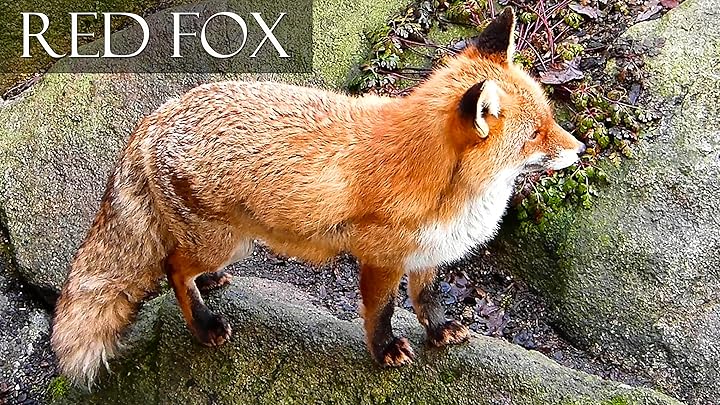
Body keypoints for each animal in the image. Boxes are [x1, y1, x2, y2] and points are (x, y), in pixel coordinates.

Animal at [51, 7, 585, 386]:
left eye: (549, 119)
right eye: (536, 135)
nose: (581, 149)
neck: (448, 187)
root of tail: (155, 116)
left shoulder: (429, 253)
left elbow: (427, 299)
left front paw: (438, 331)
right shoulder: (380, 260)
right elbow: (381, 313)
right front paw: (385, 351)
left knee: (181, 265)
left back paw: (212, 286)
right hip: (227, 243)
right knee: (171, 269)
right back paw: (204, 326)